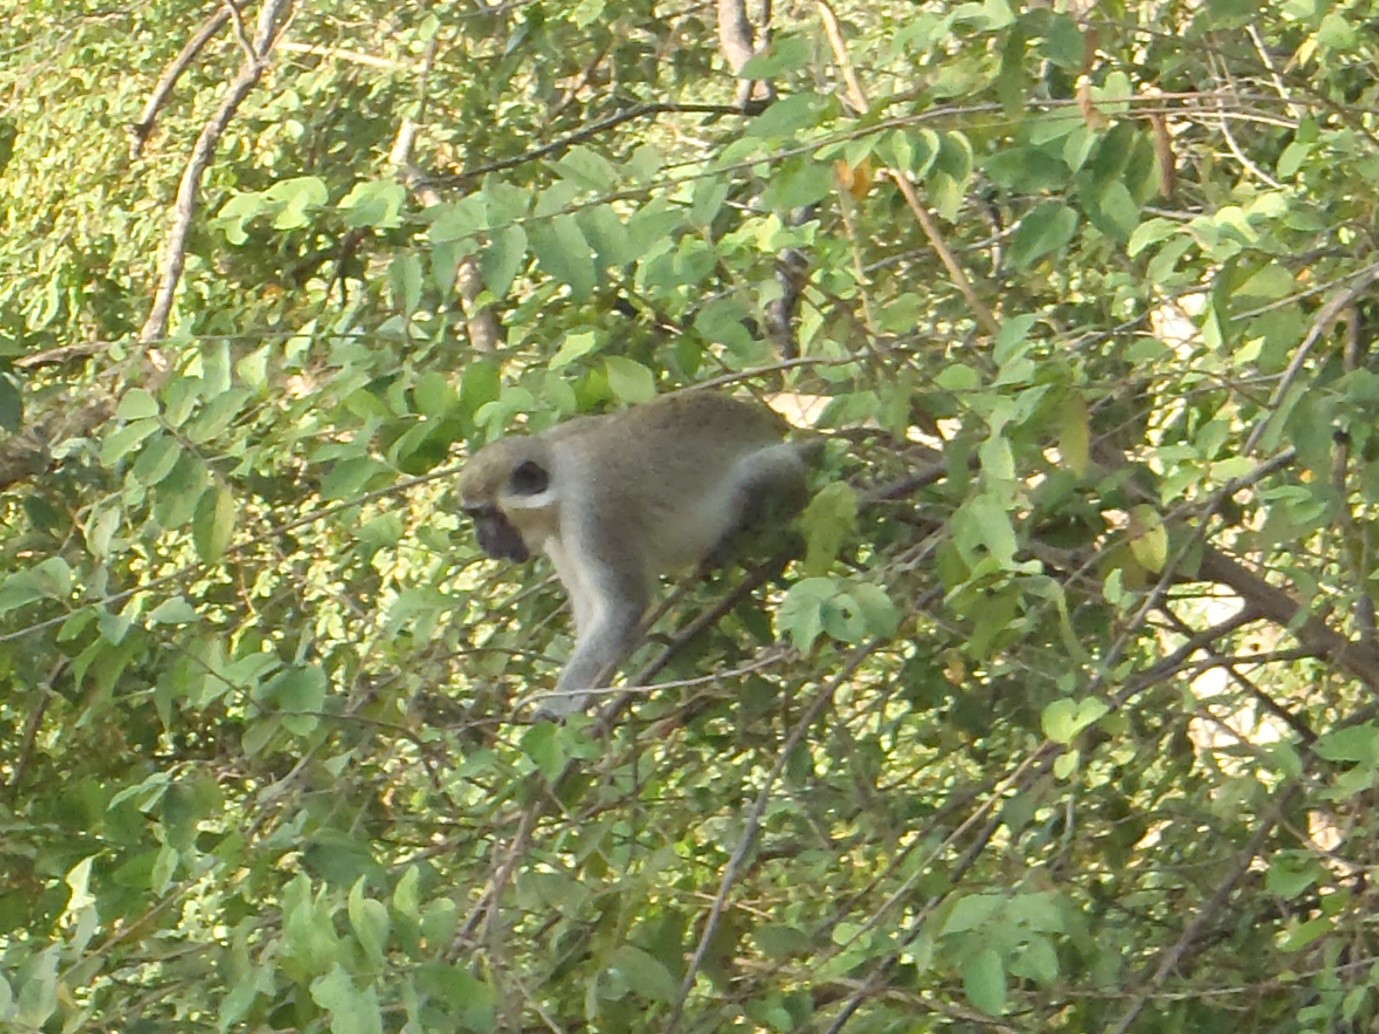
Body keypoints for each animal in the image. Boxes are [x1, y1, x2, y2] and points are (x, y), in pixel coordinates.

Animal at [458, 391, 814, 718]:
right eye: (474, 516)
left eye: (486, 515)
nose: (482, 540)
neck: (559, 484)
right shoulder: (558, 538)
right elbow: (593, 613)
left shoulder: (592, 510)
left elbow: (621, 608)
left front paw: (554, 709)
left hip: (785, 477)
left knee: (759, 476)